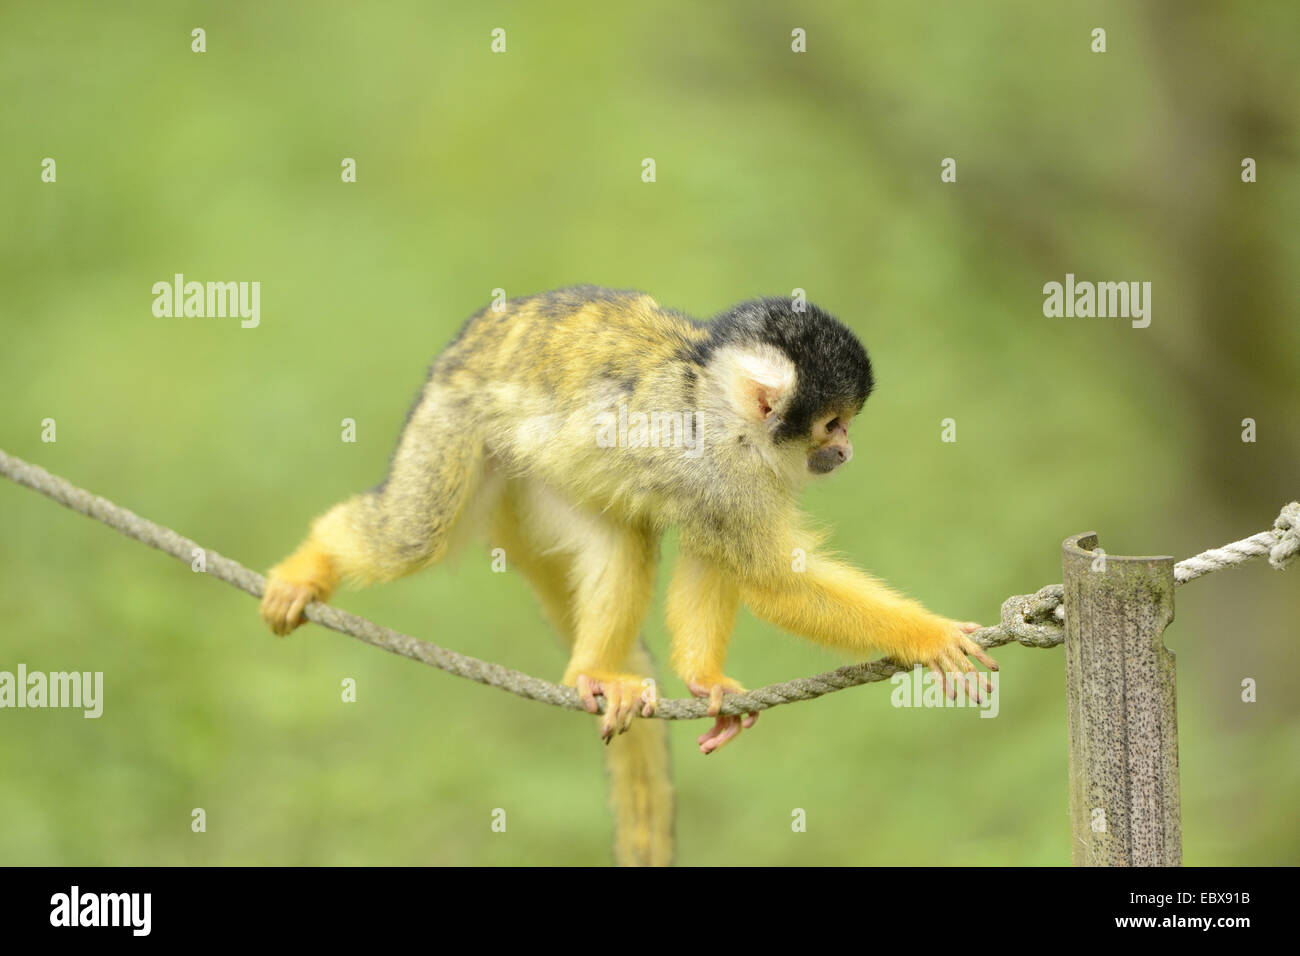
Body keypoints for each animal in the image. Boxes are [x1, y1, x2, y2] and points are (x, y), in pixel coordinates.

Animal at [259, 285, 997, 865]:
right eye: (832, 424)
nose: (846, 450)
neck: (716, 405)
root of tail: (471, 340)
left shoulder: (725, 481)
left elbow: (715, 554)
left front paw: (705, 679)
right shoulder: (723, 470)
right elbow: (771, 579)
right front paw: (929, 637)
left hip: (540, 479)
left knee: (623, 537)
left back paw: (593, 669)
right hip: (454, 423)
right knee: (417, 532)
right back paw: (312, 564)